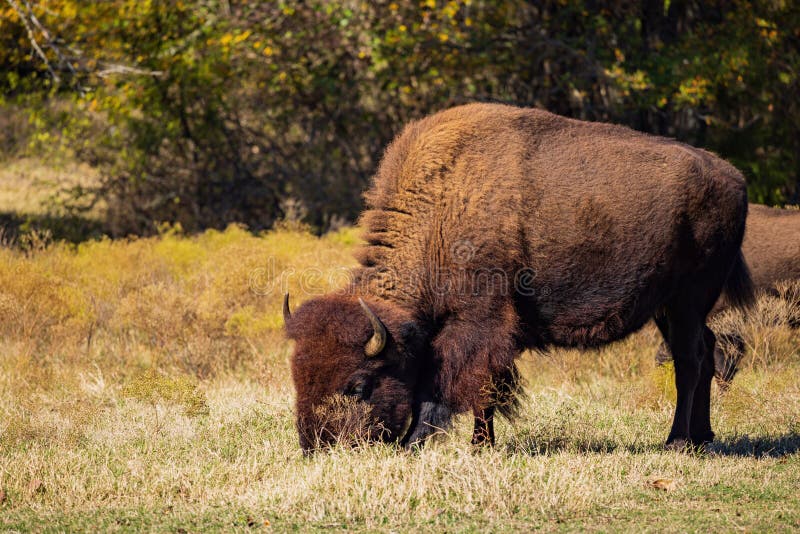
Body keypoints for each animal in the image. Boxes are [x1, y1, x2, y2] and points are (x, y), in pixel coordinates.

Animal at [284, 103, 753, 452]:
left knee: (690, 359)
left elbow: (463, 385)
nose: (317, 447)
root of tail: (735, 179)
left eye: (358, 386)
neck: (442, 210)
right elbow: (479, 390)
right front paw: (479, 444)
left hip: (689, 298)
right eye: (297, 375)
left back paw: (677, 441)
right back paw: (703, 437)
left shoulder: (478, 324)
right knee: (705, 350)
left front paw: (442, 443)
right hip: (667, 306)